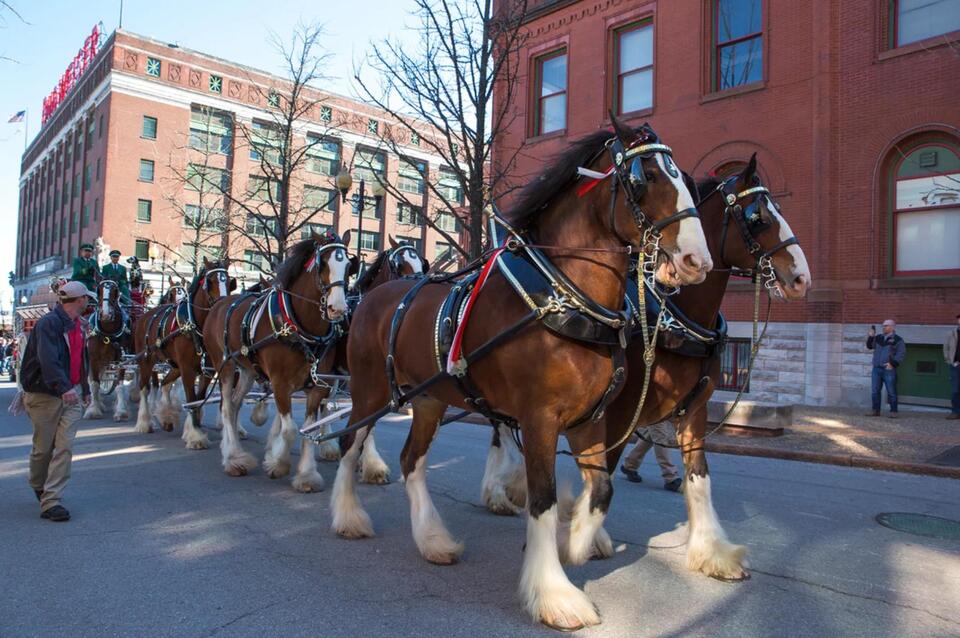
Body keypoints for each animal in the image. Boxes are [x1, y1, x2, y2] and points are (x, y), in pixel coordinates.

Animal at [83, 280, 134, 421]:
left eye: (115, 291)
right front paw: (94, 410)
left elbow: (120, 385)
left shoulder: (122, 359)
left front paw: (121, 410)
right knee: (93, 381)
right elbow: (94, 384)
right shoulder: (93, 359)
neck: (108, 333)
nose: (106, 315)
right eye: (99, 291)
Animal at [132, 258, 235, 449]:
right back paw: (143, 423)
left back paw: (166, 418)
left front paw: (192, 430)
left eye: (229, 281)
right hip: (146, 360)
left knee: (165, 383)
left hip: (174, 365)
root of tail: (145, 315)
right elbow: (191, 397)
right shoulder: (187, 368)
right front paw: (195, 437)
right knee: (144, 388)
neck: (194, 324)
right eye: (210, 281)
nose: (223, 306)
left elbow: (198, 398)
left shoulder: (207, 370)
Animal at [201, 230, 358, 492]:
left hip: (247, 371)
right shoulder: (280, 384)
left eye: (348, 266)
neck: (297, 324)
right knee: (225, 407)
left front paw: (306, 475)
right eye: (323, 264)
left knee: (233, 404)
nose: (338, 309)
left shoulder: (317, 387)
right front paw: (278, 463)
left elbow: (308, 429)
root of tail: (220, 304)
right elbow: (291, 429)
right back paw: (233, 458)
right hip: (225, 367)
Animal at [330, 118, 711, 631]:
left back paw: (433, 540)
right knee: (350, 443)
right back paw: (349, 518)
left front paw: (574, 545)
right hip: (370, 391)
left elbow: (601, 490)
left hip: (429, 399)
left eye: (684, 179)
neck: (563, 296)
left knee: (412, 460)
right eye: (644, 177)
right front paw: (554, 593)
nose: (697, 260)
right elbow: (543, 498)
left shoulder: (590, 418)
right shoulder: (539, 420)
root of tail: (370, 297)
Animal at [483, 155, 812, 581]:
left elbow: (698, 476)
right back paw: (498, 491)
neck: (671, 313)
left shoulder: (694, 409)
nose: (801, 277)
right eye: (758, 217)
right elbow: (603, 472)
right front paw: (581, 537)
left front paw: (712, 552)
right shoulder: (619, 410)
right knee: (501, 431)